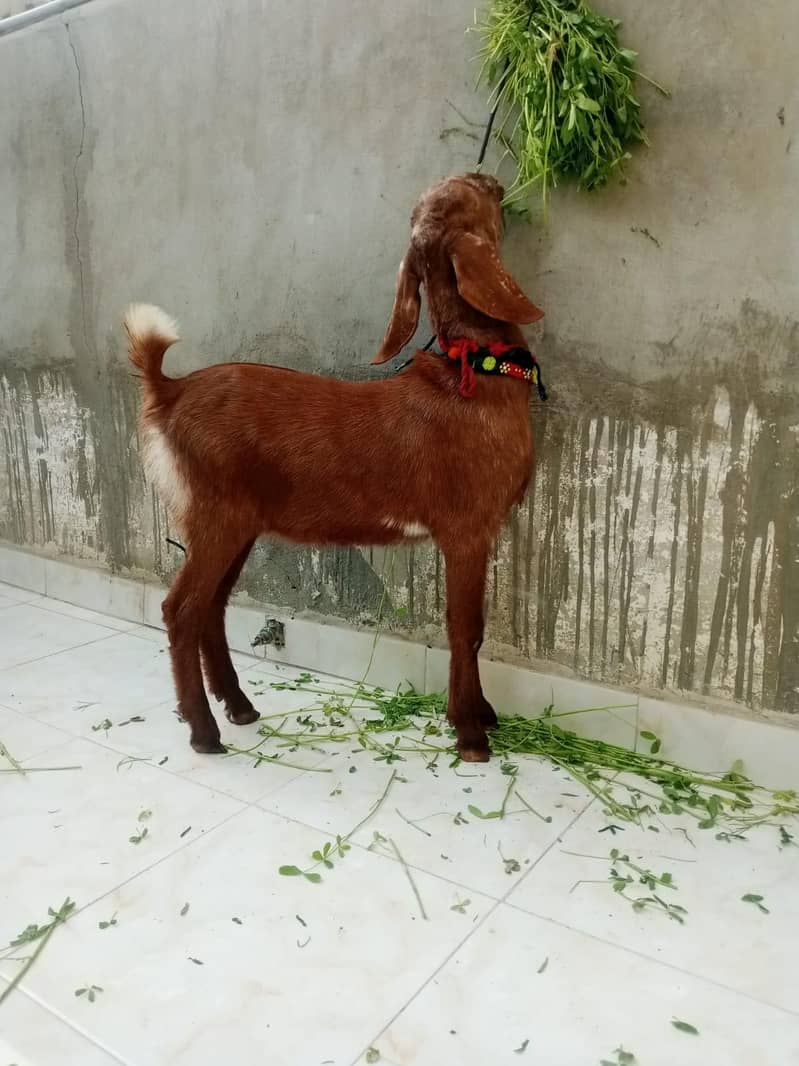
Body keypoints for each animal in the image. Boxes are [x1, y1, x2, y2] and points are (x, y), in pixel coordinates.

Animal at [125, 172, 544, 762]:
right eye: (473, 191)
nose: (496, 179)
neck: (475, 377)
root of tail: (168, 391)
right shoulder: (467, 526)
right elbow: (467, 629)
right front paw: (471, 732)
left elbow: (469, 628)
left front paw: (480, 714)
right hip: (213, 512)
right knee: (180, 609)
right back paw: (204, 732)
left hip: (237, 523)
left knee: (211, 607)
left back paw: (240, 707)